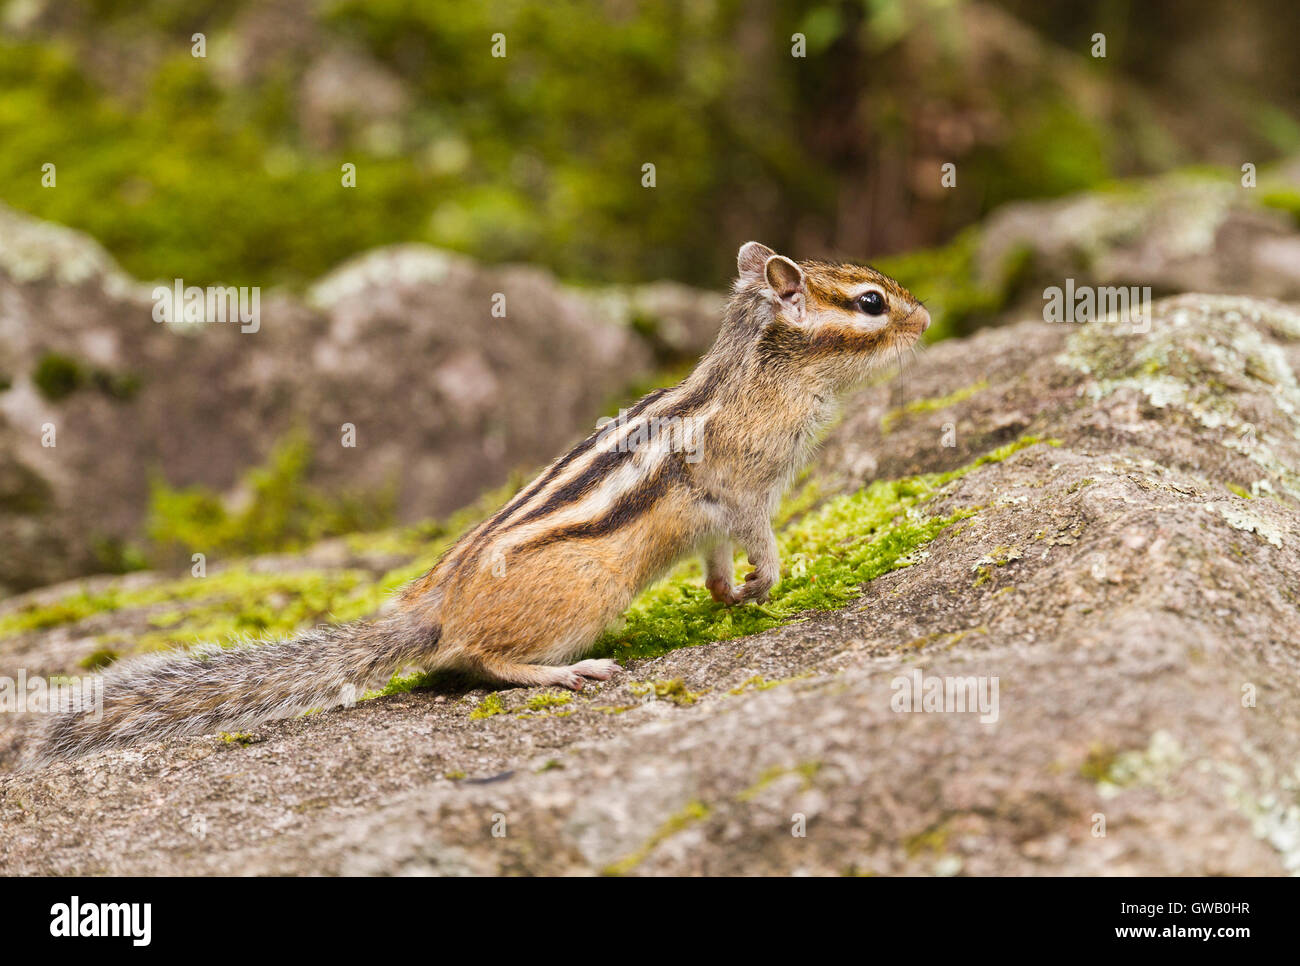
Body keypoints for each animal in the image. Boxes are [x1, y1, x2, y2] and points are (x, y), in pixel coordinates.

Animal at [32, 242, 929, 763]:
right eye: (870, 302)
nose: (926, 317)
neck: (763, 374)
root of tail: (432, 610)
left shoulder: (715, 515)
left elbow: (712, 560)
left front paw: (726, 594)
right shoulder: (746, 492)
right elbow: (761, 538)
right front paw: (767, 582)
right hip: (583, 598)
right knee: (477, 659)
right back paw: (569, 671)